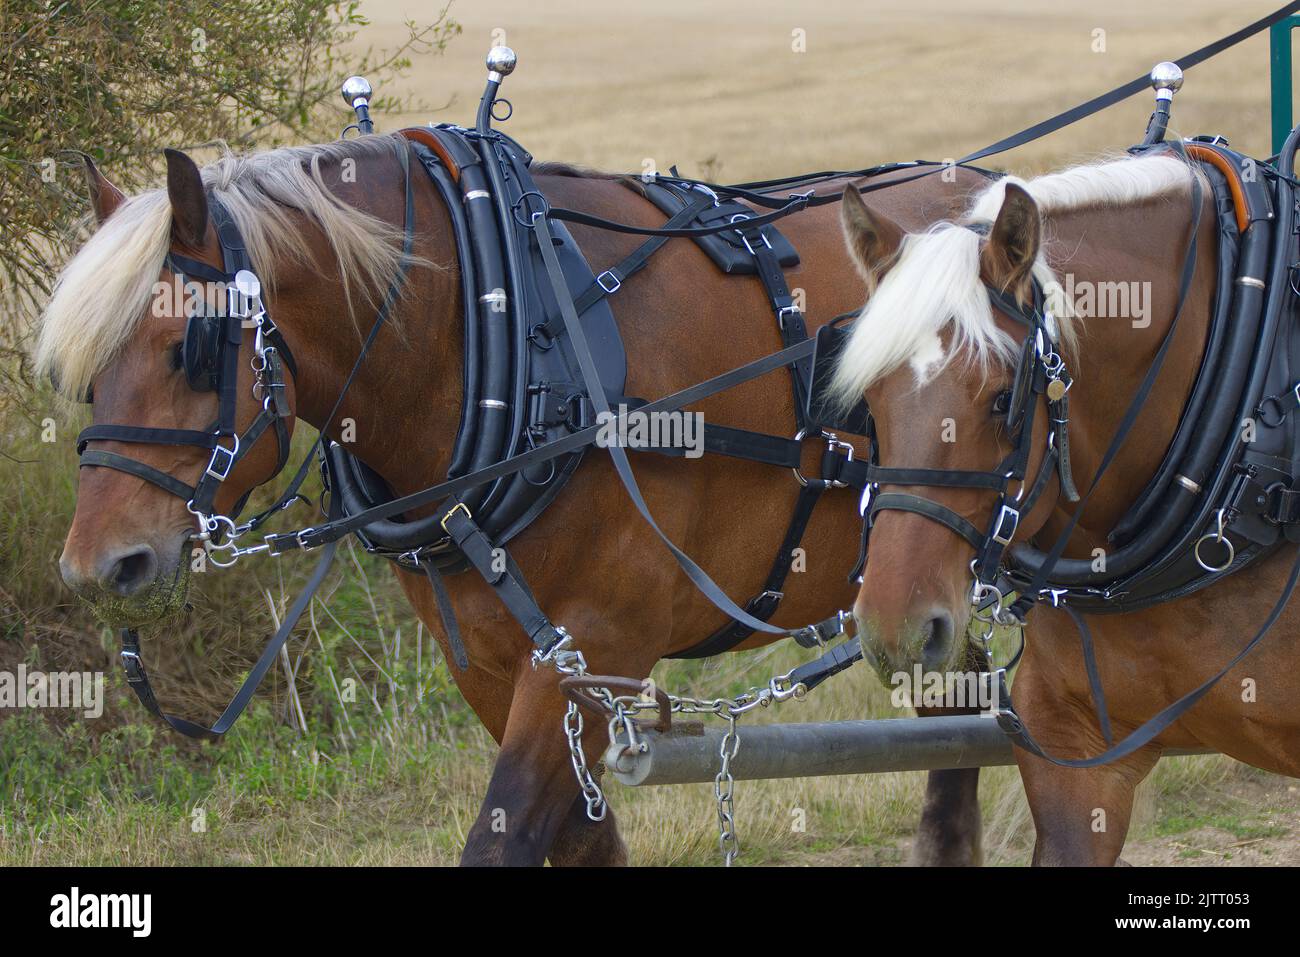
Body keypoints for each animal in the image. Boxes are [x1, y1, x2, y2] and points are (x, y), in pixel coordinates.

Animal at [38, 132, 992, 865]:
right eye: (83, 369)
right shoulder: (490, 664)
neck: (504, 335)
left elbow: (506, 838)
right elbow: (579, 838)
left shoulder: (598, 646)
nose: (96, 568)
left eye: (187, 349)